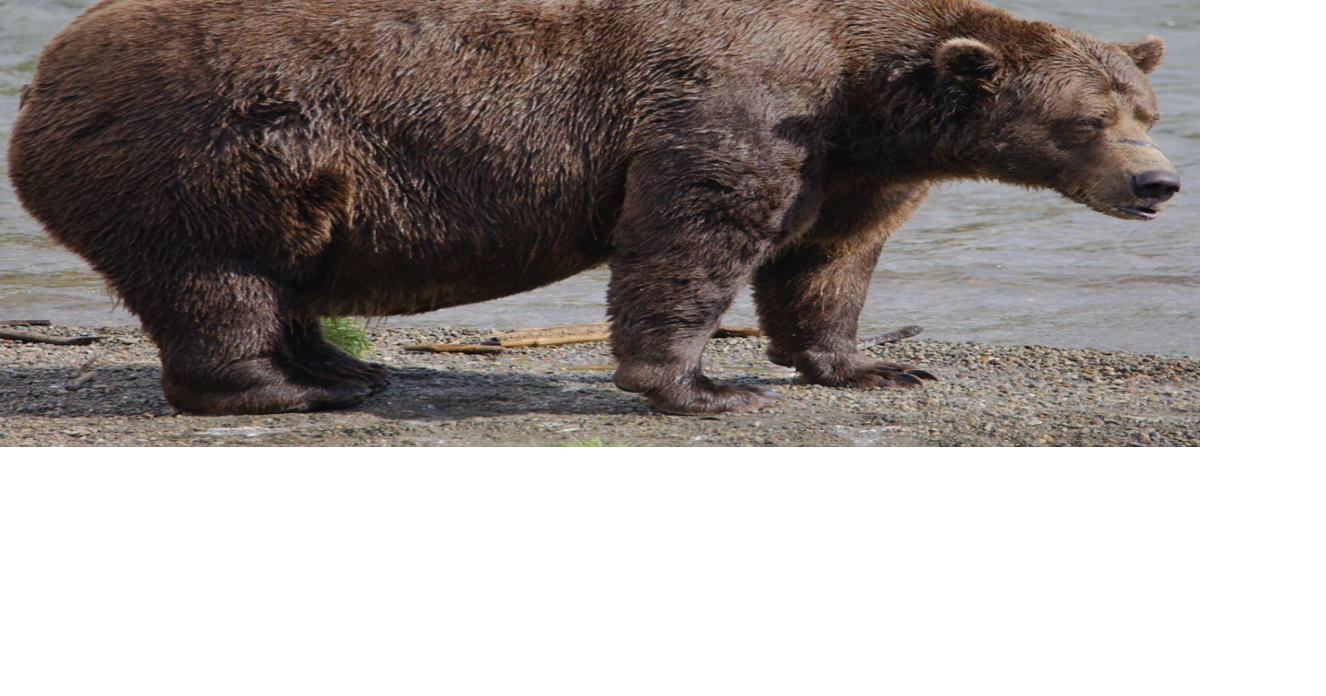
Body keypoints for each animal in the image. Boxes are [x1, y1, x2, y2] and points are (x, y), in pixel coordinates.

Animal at [8, 0, 1180, 416]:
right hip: (216, 148)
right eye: (1088, 121)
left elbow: (829, 261)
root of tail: (42, 77)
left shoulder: (851, 162)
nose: (1159, 183)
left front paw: (869, 363)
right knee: (221, 276)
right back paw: (283, 388)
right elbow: (689, 238)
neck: (860, 86)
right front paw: (700, 387)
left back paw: (343, 366)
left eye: (1146, 107)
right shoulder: (731, 103)